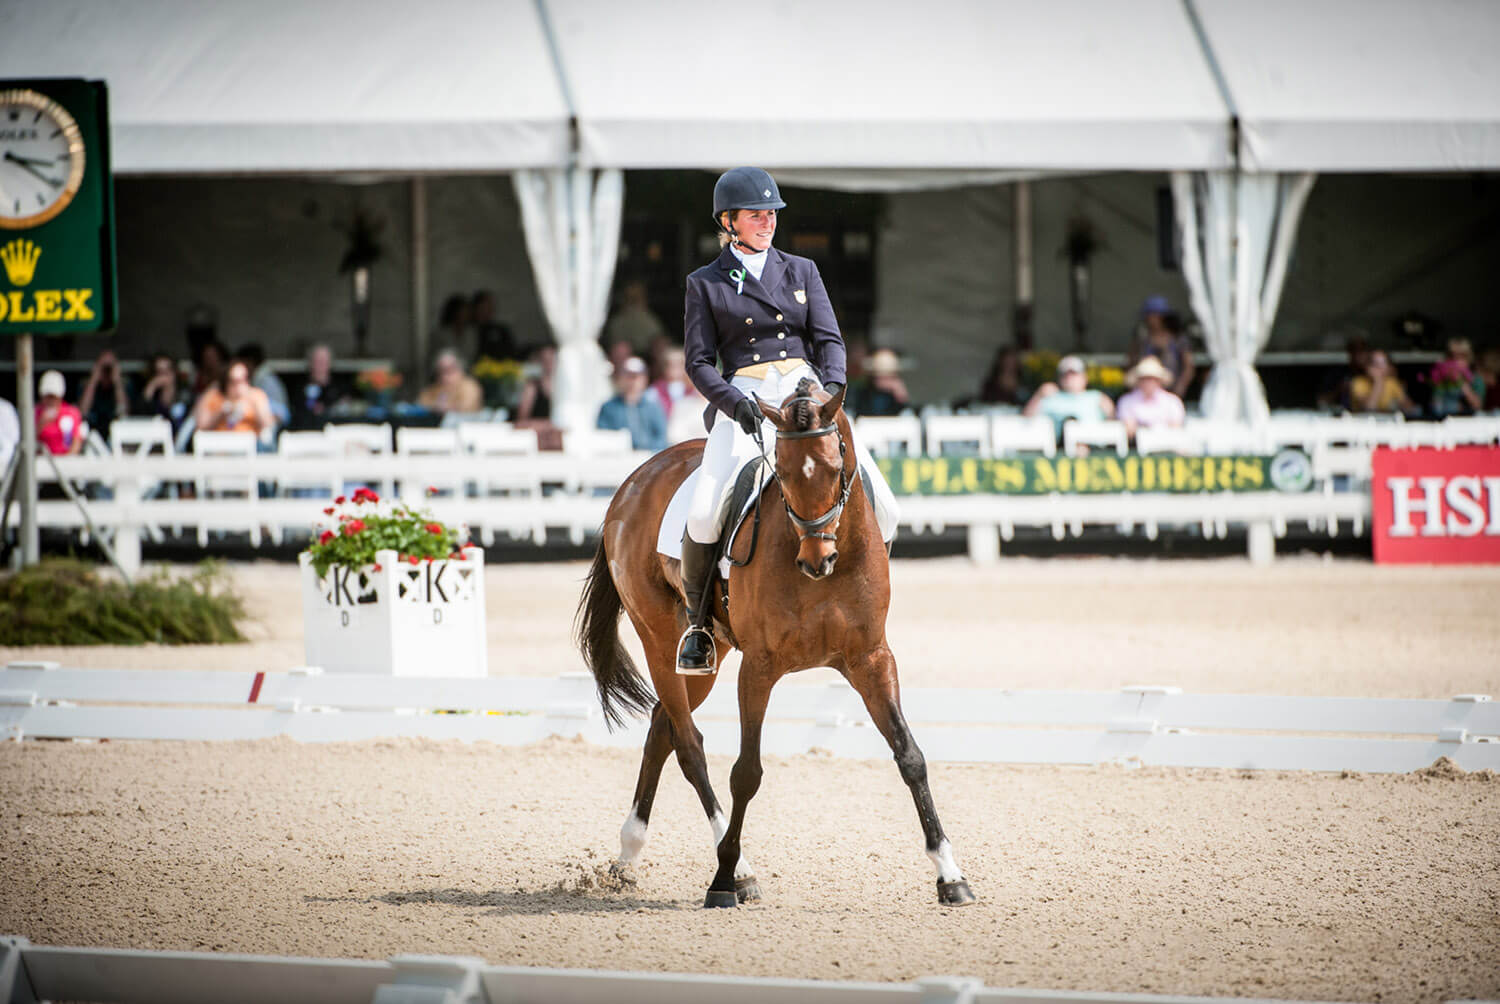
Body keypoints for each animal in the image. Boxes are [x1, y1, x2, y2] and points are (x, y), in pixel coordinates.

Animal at [575, 378, 975, 908]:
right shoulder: (759, 668)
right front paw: (724, 879)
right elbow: (746, 772)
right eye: (780, 473)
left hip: (709, 652)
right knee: (689, 744)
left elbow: (910, 757)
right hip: (659, 640)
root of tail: (632, 483)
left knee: (663, 726)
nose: (817, 560)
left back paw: (628, 853)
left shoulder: (870, 659)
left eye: (836, 466)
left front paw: (950, 875)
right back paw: (737, 869)